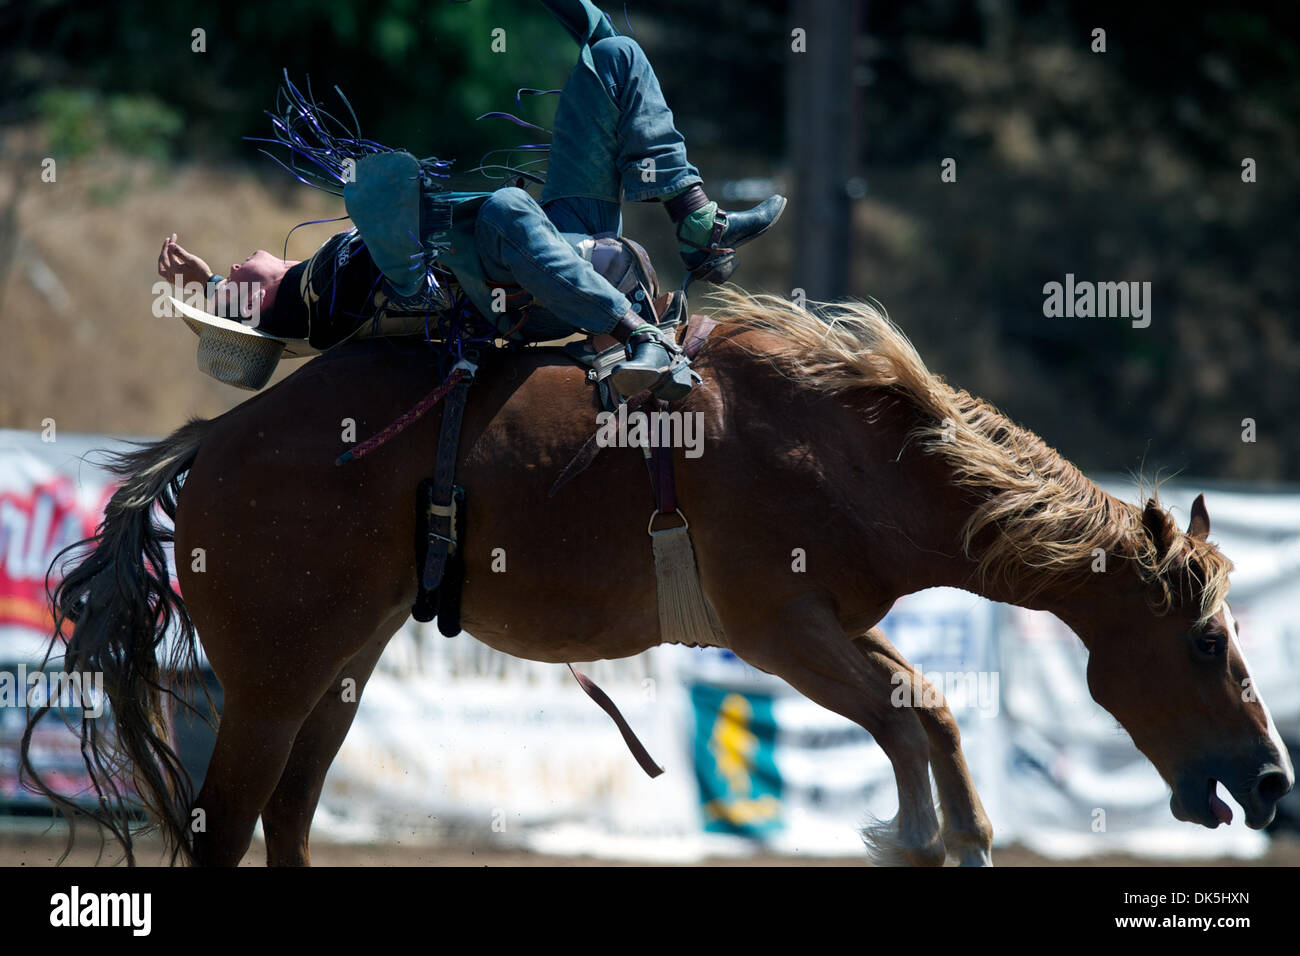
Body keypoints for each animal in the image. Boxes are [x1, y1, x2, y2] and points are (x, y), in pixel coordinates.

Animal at [25, 283, 1294, 868]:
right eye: (1205, 640)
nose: (1273, 777)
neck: (854, 449)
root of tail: (209, 443)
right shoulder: (778, 623)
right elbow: (909, 710)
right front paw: (925, 830)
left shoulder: (831, 620)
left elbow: (922, 707)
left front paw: (945, 829)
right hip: (271, 680)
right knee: (223, 825)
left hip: (341, 668)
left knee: (287, 818)